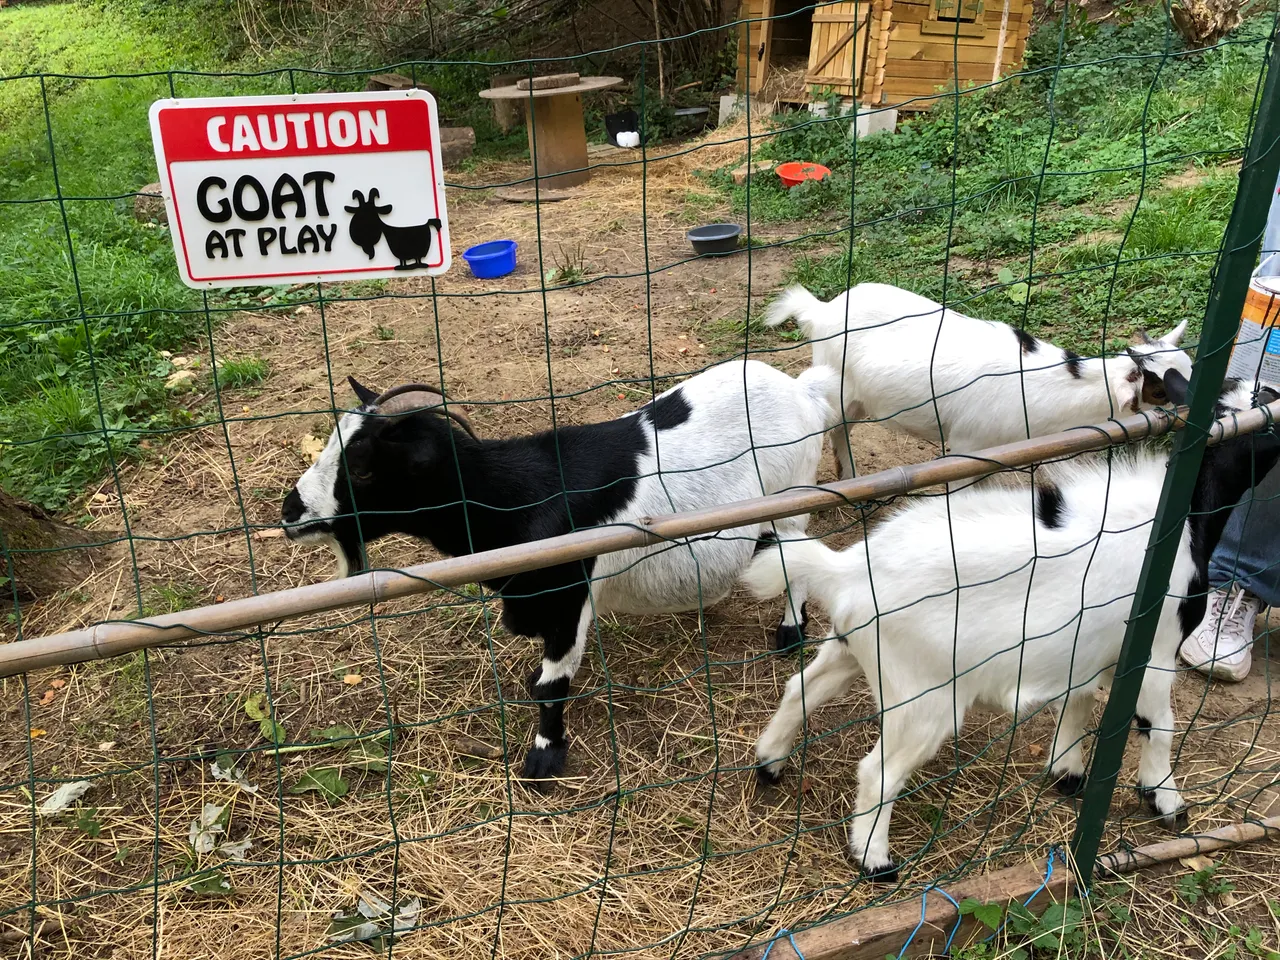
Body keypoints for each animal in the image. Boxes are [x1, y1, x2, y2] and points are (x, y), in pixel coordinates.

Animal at [281, 360, 839, 784]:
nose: (290, 513)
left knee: (795, 559)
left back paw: (791, 632)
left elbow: (553, 686)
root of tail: (802, 389)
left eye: (363, 469)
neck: (518, 496)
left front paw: (544, 758)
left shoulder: (570, 595)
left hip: (793, 498)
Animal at [744, 370, 1280, 881]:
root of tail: (849, 572)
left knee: (801, 688)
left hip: (855, 647)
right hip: (924, 695)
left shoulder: (1086, 648)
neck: (1184, 519)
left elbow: (1078, 704)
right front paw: (1165, 801)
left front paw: (1067, 773)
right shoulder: (1156, 651)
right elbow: (1158, 727)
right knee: (879, 771)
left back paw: (769, 763)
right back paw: (875, 862)